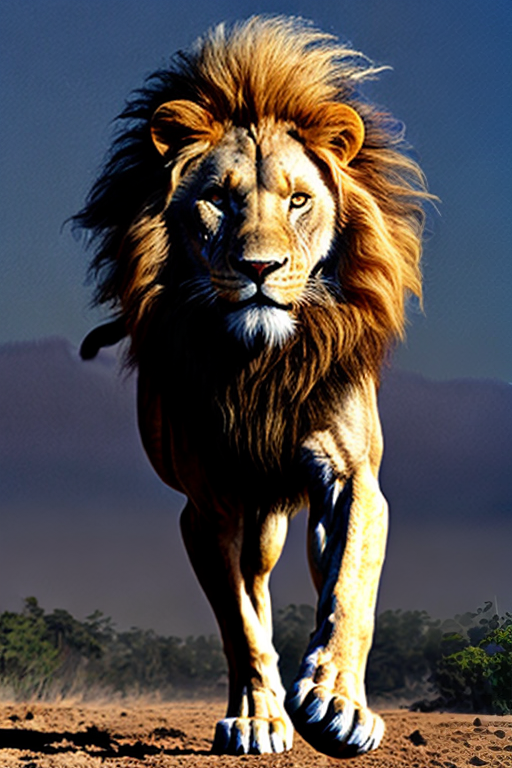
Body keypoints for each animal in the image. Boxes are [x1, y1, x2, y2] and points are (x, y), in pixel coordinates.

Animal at [77, 16, 429, 758]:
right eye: (219, 199)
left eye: (298, 199)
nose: (260, 268)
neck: (260, 365)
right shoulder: (207, 503)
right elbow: (239, 622)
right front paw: (260, 718)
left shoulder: (352, 476)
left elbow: (349, 586)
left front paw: (336, 703)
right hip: (248, 514)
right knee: (253, 593)